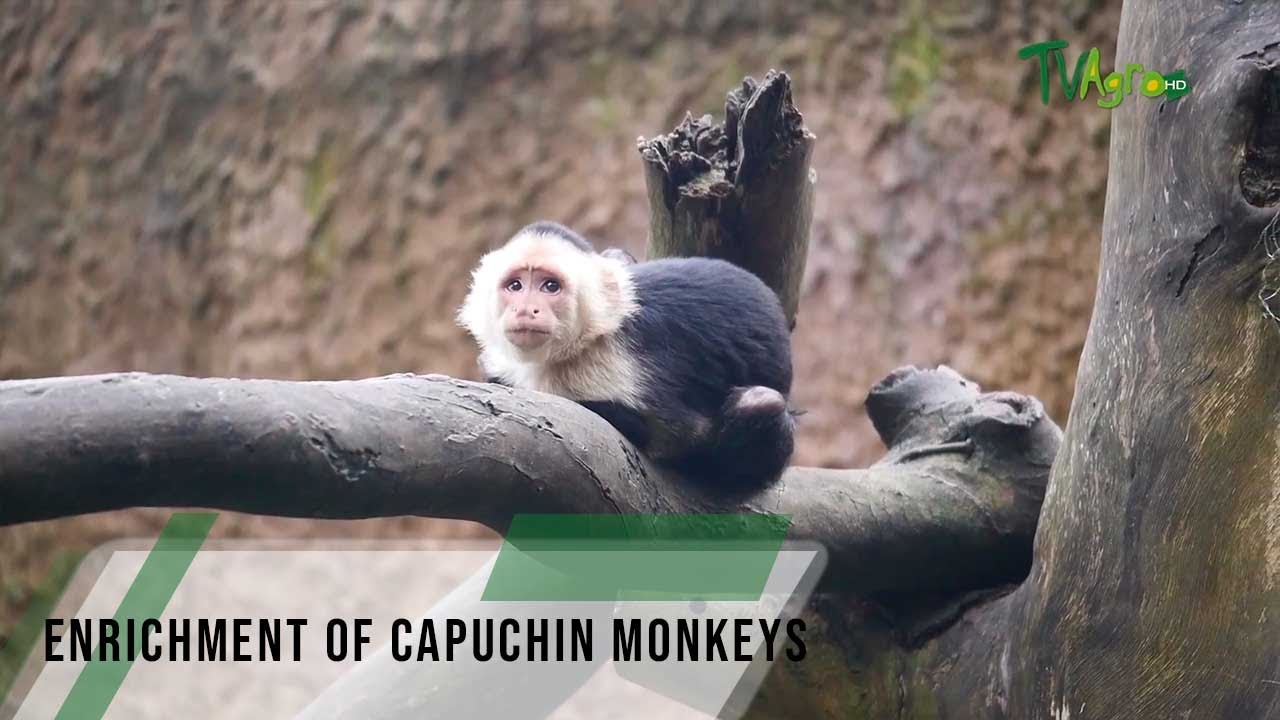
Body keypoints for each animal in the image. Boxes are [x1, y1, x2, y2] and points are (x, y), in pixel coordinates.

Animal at [457, 221, 795, 487]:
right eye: (515, 286)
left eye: (550, 286)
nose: (526, 309)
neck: (591, 333)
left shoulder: (611, 365)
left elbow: (681, 436)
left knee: (761, 402)